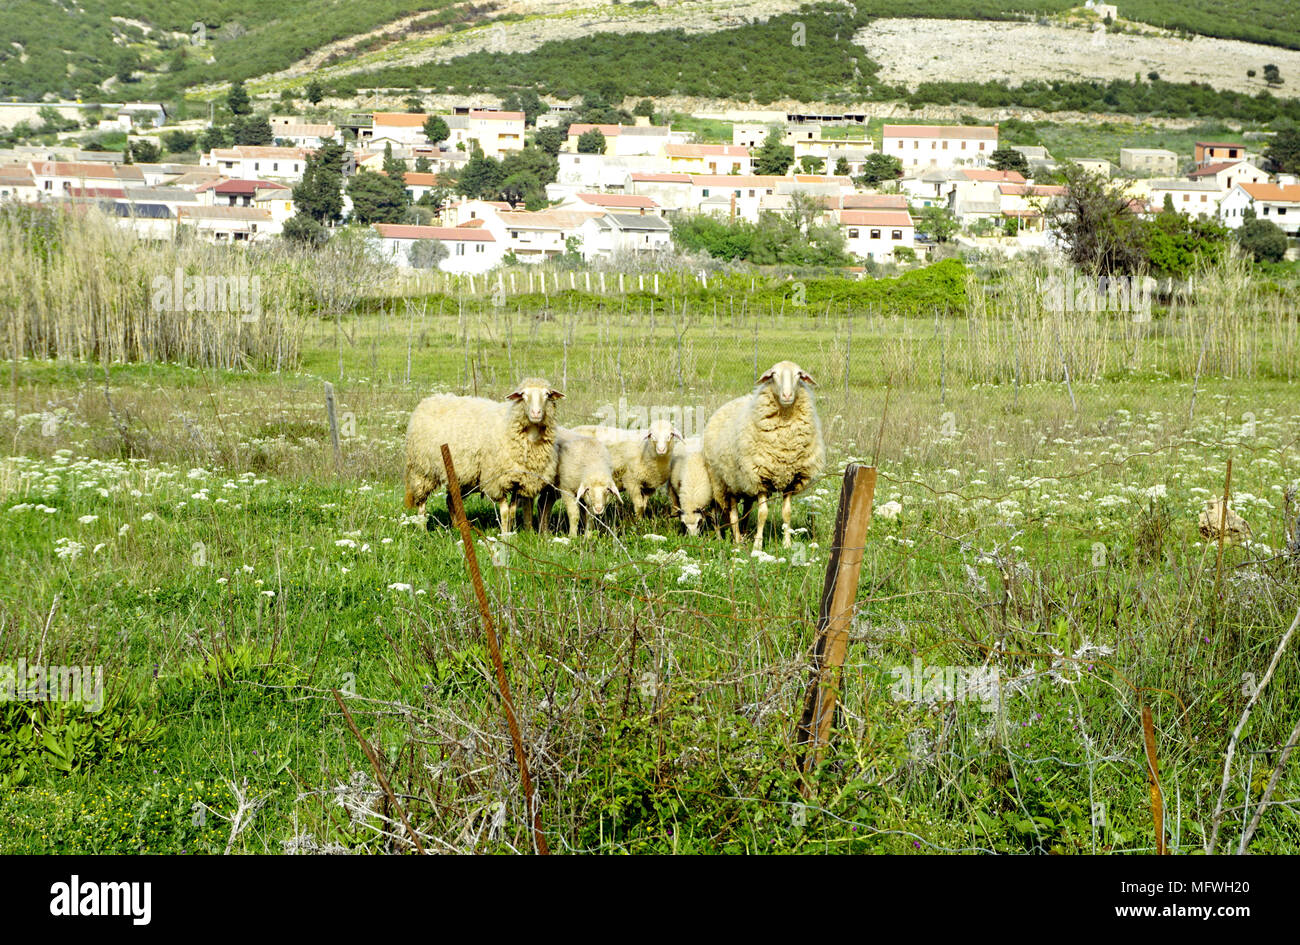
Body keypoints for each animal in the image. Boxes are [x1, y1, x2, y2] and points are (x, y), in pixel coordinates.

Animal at [403, 377, 563, 534]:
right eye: (523, 395)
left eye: (547, 395)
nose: (536, 413)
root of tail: (428, 400)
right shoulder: (497, 480)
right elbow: (505, 512)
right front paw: (505, 535)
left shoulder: (520, 480)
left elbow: (512, 511)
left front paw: (515, 533)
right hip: (422, 470)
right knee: (422, 503)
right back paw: (423, 530)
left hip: (460, 475)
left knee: (450, 500)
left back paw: (458, 527)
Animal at [701, 360, 824, 551]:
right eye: (773, 374)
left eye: (798, 374)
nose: (787, 395)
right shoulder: (760, 479)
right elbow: (763, 514)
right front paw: (758, 545)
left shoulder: (791, 481)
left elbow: (786, 513)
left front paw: (787, 543)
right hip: (725, 481)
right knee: (732, 512)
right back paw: (737, 540)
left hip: (743, 484)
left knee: (746, 510)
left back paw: (744, 534)